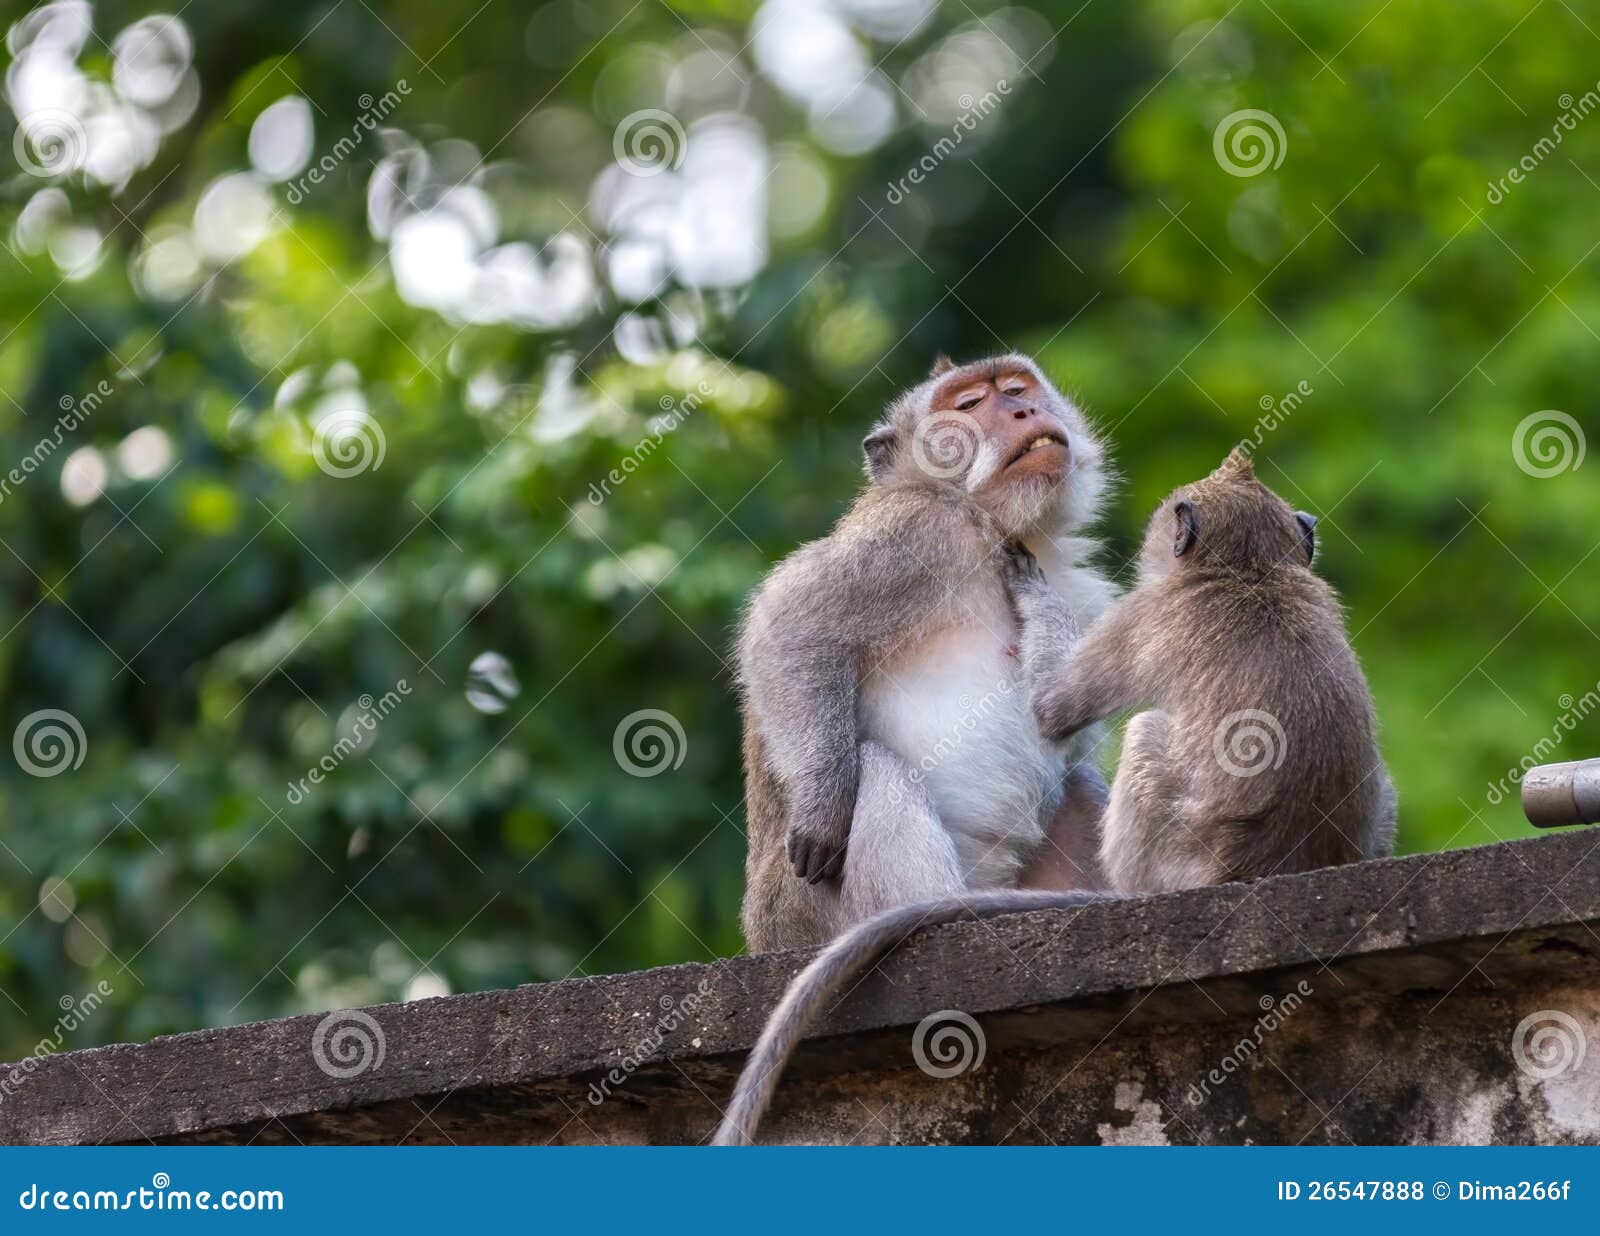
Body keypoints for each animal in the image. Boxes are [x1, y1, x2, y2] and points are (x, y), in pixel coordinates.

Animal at [713, 446, 1396, 1145]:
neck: (1253, 570)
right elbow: (796, 631)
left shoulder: (1138, 616)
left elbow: (1053, 709)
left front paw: (1032, 591)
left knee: (1135, 735)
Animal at [736, 353, 1119, 955]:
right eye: (970, 404)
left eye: (1016, 389)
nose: (1024, 410)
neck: (989, 522)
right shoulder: (918, 530)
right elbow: (791, 625)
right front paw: (822, 799)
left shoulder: (1084, 594)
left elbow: (1060, 717)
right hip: (805, 916)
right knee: (873, 770)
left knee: (1078, 782)